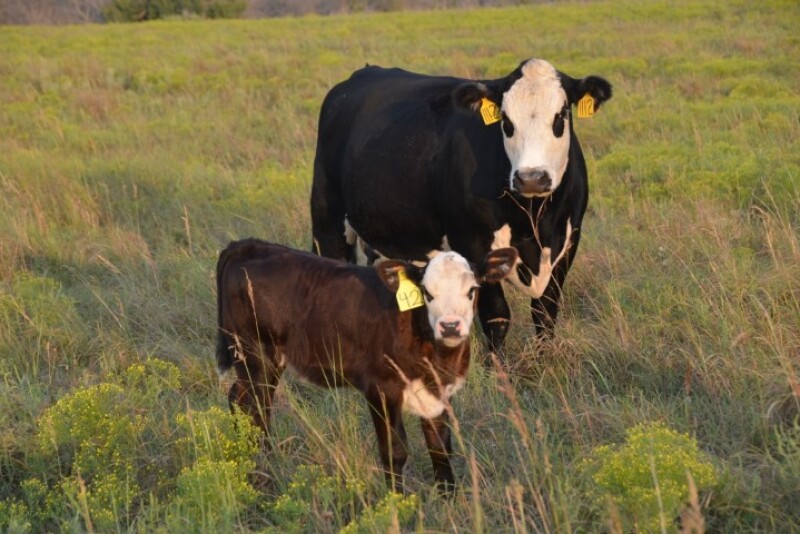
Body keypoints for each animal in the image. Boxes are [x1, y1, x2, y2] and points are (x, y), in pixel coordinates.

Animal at [216, 239, 517, 492]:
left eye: (472, 290)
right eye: (427, 293)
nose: (451, 326)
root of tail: (249, 245)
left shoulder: (440, 391)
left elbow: (440, 447)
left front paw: (448, 498)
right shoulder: (380, 388)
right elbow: (395, 451)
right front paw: (399, 501)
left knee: (238, 398)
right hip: (255, 354)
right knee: (257, 410)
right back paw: (263, 469)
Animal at [310, 58, 612, 357]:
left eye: (561, 115)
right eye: (506, 120)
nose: (531, 178)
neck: (534, 219)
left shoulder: (568, 241)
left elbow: (545, 312)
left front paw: (545, 361)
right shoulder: (474, 245)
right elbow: (496, 317)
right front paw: (498, 369)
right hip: (327, 224)